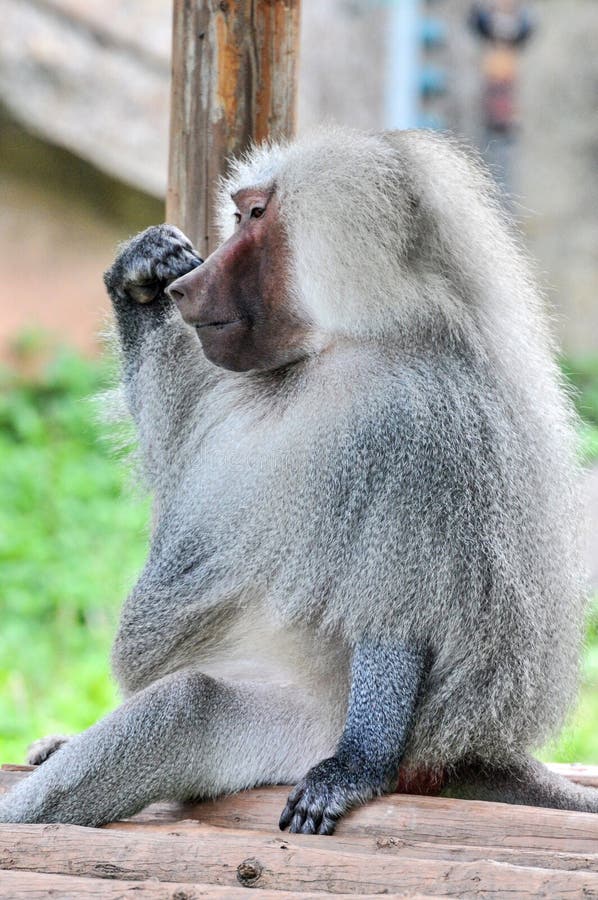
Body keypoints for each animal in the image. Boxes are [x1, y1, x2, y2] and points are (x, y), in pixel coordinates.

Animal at [0, 125, 594, 835]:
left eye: (257, 217)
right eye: (237, 215)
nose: (185, 287)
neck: (327, 351)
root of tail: (453, 758)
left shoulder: (412, 419)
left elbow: (398, 608)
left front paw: (355, 768)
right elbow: (170, 438)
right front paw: (141, 273)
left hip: (300, 728)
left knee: (184, 709)